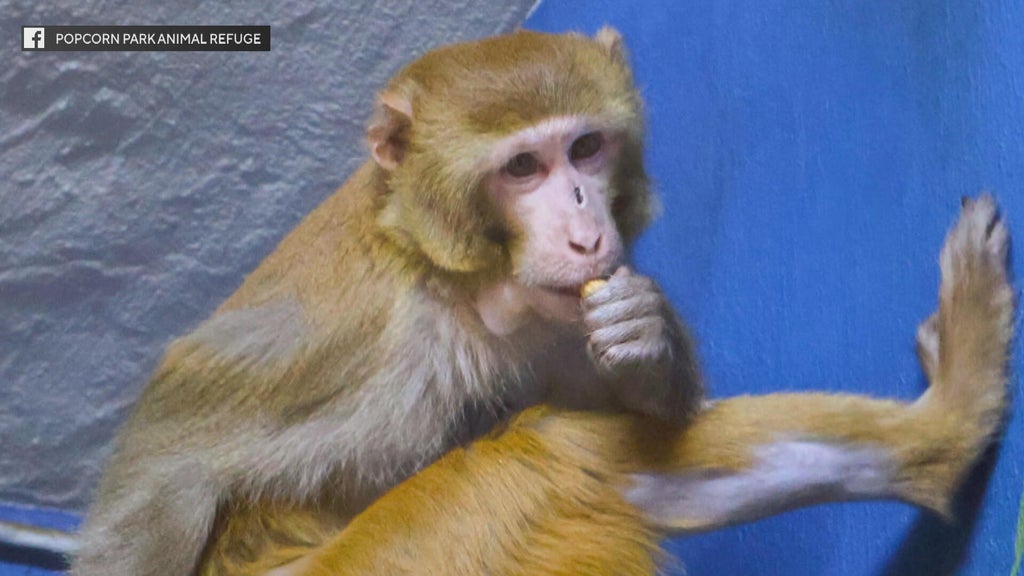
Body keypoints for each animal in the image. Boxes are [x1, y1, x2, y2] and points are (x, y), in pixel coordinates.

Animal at [72, 28, 703, 576]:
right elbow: (163, 464)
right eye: (523, 166)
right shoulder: (354, 339)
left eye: (587, 147)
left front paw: (646, 333)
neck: (460, 287)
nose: (586, 237)